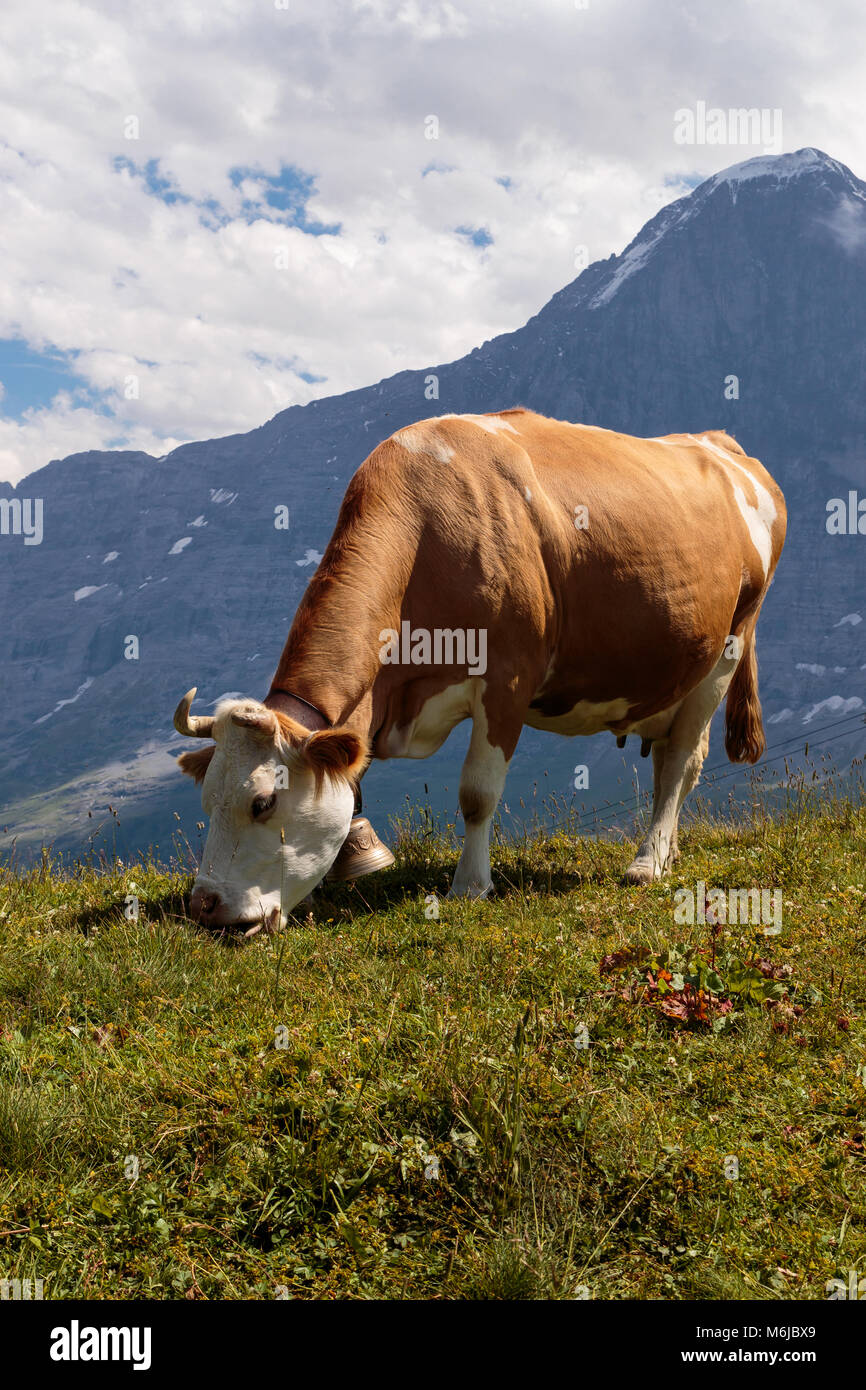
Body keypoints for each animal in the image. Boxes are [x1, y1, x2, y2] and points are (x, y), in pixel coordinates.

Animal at [174, 409, 786, 929]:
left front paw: (469, 885)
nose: (205, 906)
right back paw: (670, 848)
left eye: (262, 802)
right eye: (206, 800)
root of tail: (720, 443)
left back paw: (648, 861)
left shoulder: (507, 680)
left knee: (681, 760)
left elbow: (477, 794)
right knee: (672, 763)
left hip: (728, 648)